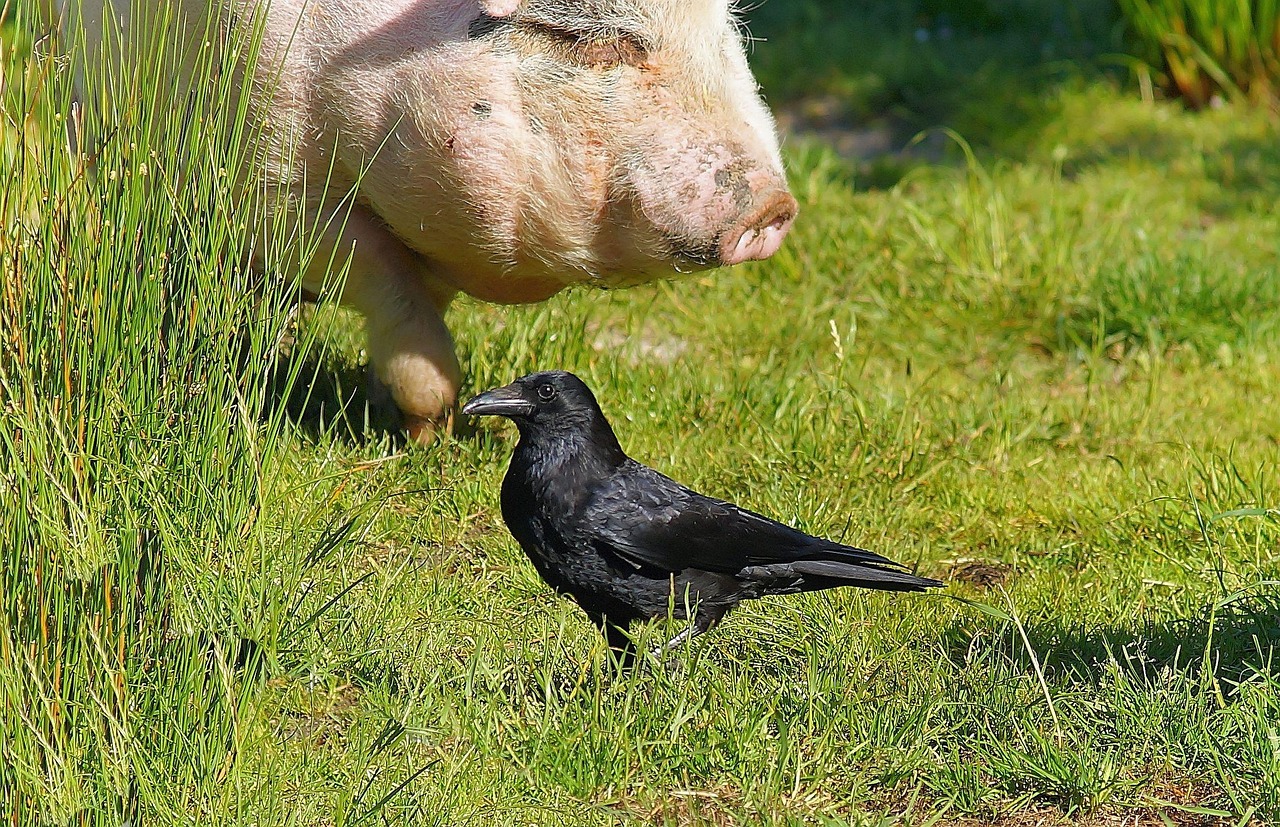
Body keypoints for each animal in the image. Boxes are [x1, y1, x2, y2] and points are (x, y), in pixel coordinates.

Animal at [54, 0, 797, 441]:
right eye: (593, 37)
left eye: (728, 32)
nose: (774, 208)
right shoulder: (278, 182)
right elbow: (398, 308)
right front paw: (427, 435)